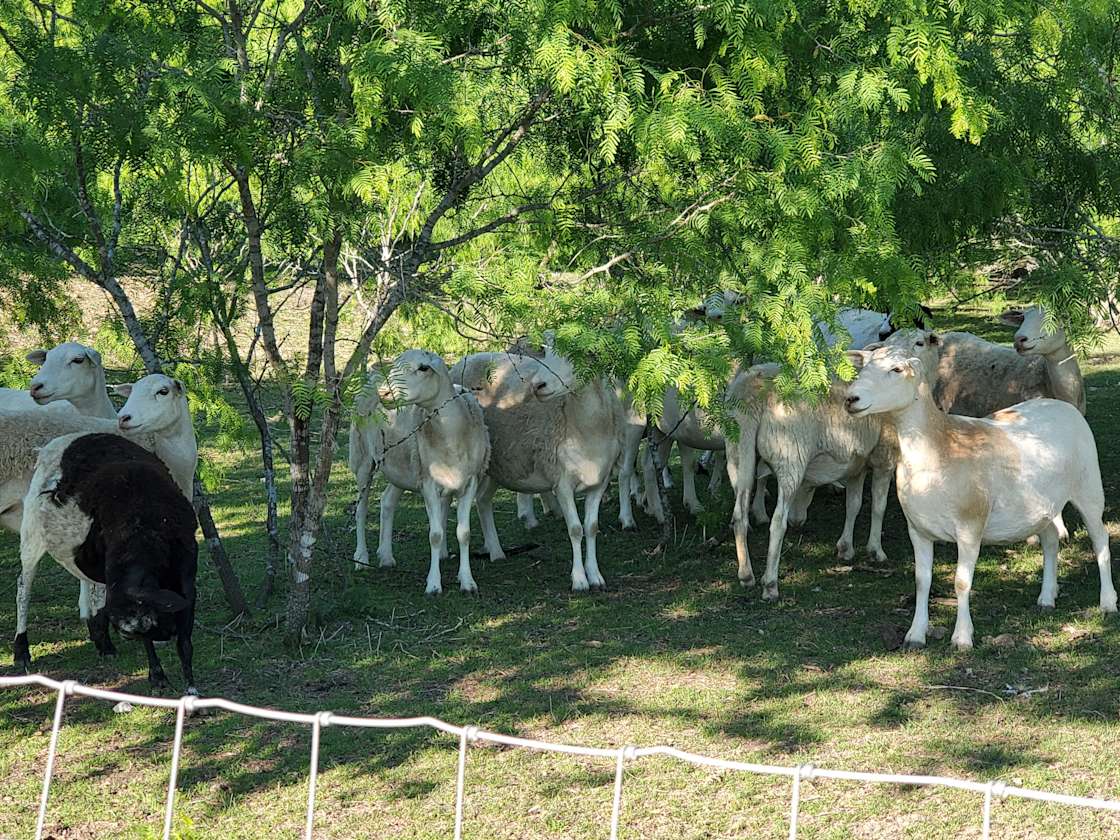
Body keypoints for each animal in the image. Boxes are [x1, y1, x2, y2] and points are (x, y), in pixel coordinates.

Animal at [15, 433, 198, 692]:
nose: (165, 634)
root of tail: (59, 442)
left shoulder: (187, 579)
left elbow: (185, 642)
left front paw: (191, 688)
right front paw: (158, 676)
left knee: (86, 586)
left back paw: (101, 640)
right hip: (31, 536)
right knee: (24, 588)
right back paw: (21, 650)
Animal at [349, 350, 490, 594]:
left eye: (423, 368)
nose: (384, 392)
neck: (451, 435)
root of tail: (372, 377)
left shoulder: (470, 481)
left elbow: (464, 533)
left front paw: (467, 581)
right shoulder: (428, 483)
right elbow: (435, 535)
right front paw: (433, 584)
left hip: (400, 467)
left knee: (387, 501)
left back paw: (386, 556)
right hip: (363, 459)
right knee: (361, 509)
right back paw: (362, 557)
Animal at [451, 349, 624, 591]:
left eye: (573, 355)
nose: (537, 385)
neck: (588, 429)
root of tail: (464, 359)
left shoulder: (600, 481)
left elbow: (591, 528)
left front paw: (596, 576)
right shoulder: (562, 483)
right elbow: (575, 530)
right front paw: (579, 580)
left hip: (497, 464)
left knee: (483, 500)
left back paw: (496, 551)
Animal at [725, 331, 940, 600]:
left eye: (919, 343)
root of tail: (753, 392)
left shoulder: (857, 463)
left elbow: (853, 505)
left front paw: (845, 548)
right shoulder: (884, 457)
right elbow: (878, 506)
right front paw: (875, 550)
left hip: (737, 452)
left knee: (739, 515)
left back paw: (746, 574)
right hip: (790, 454)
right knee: (777, 522)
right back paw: (770, 584)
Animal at [844, 344, 1116, 650]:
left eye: (897, 369)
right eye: (863, 367)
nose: (851, 399)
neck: (937, 446)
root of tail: (1062, 405)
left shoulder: (970, 526)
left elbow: (961, 582)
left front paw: (962, 638)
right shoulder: (918, 529)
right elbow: (922, 581)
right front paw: (915, 635)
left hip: (1089, 488)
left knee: (1100, 540)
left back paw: (1107, 602)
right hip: (1042, 506)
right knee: (1050, 541)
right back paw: (1047, 597)